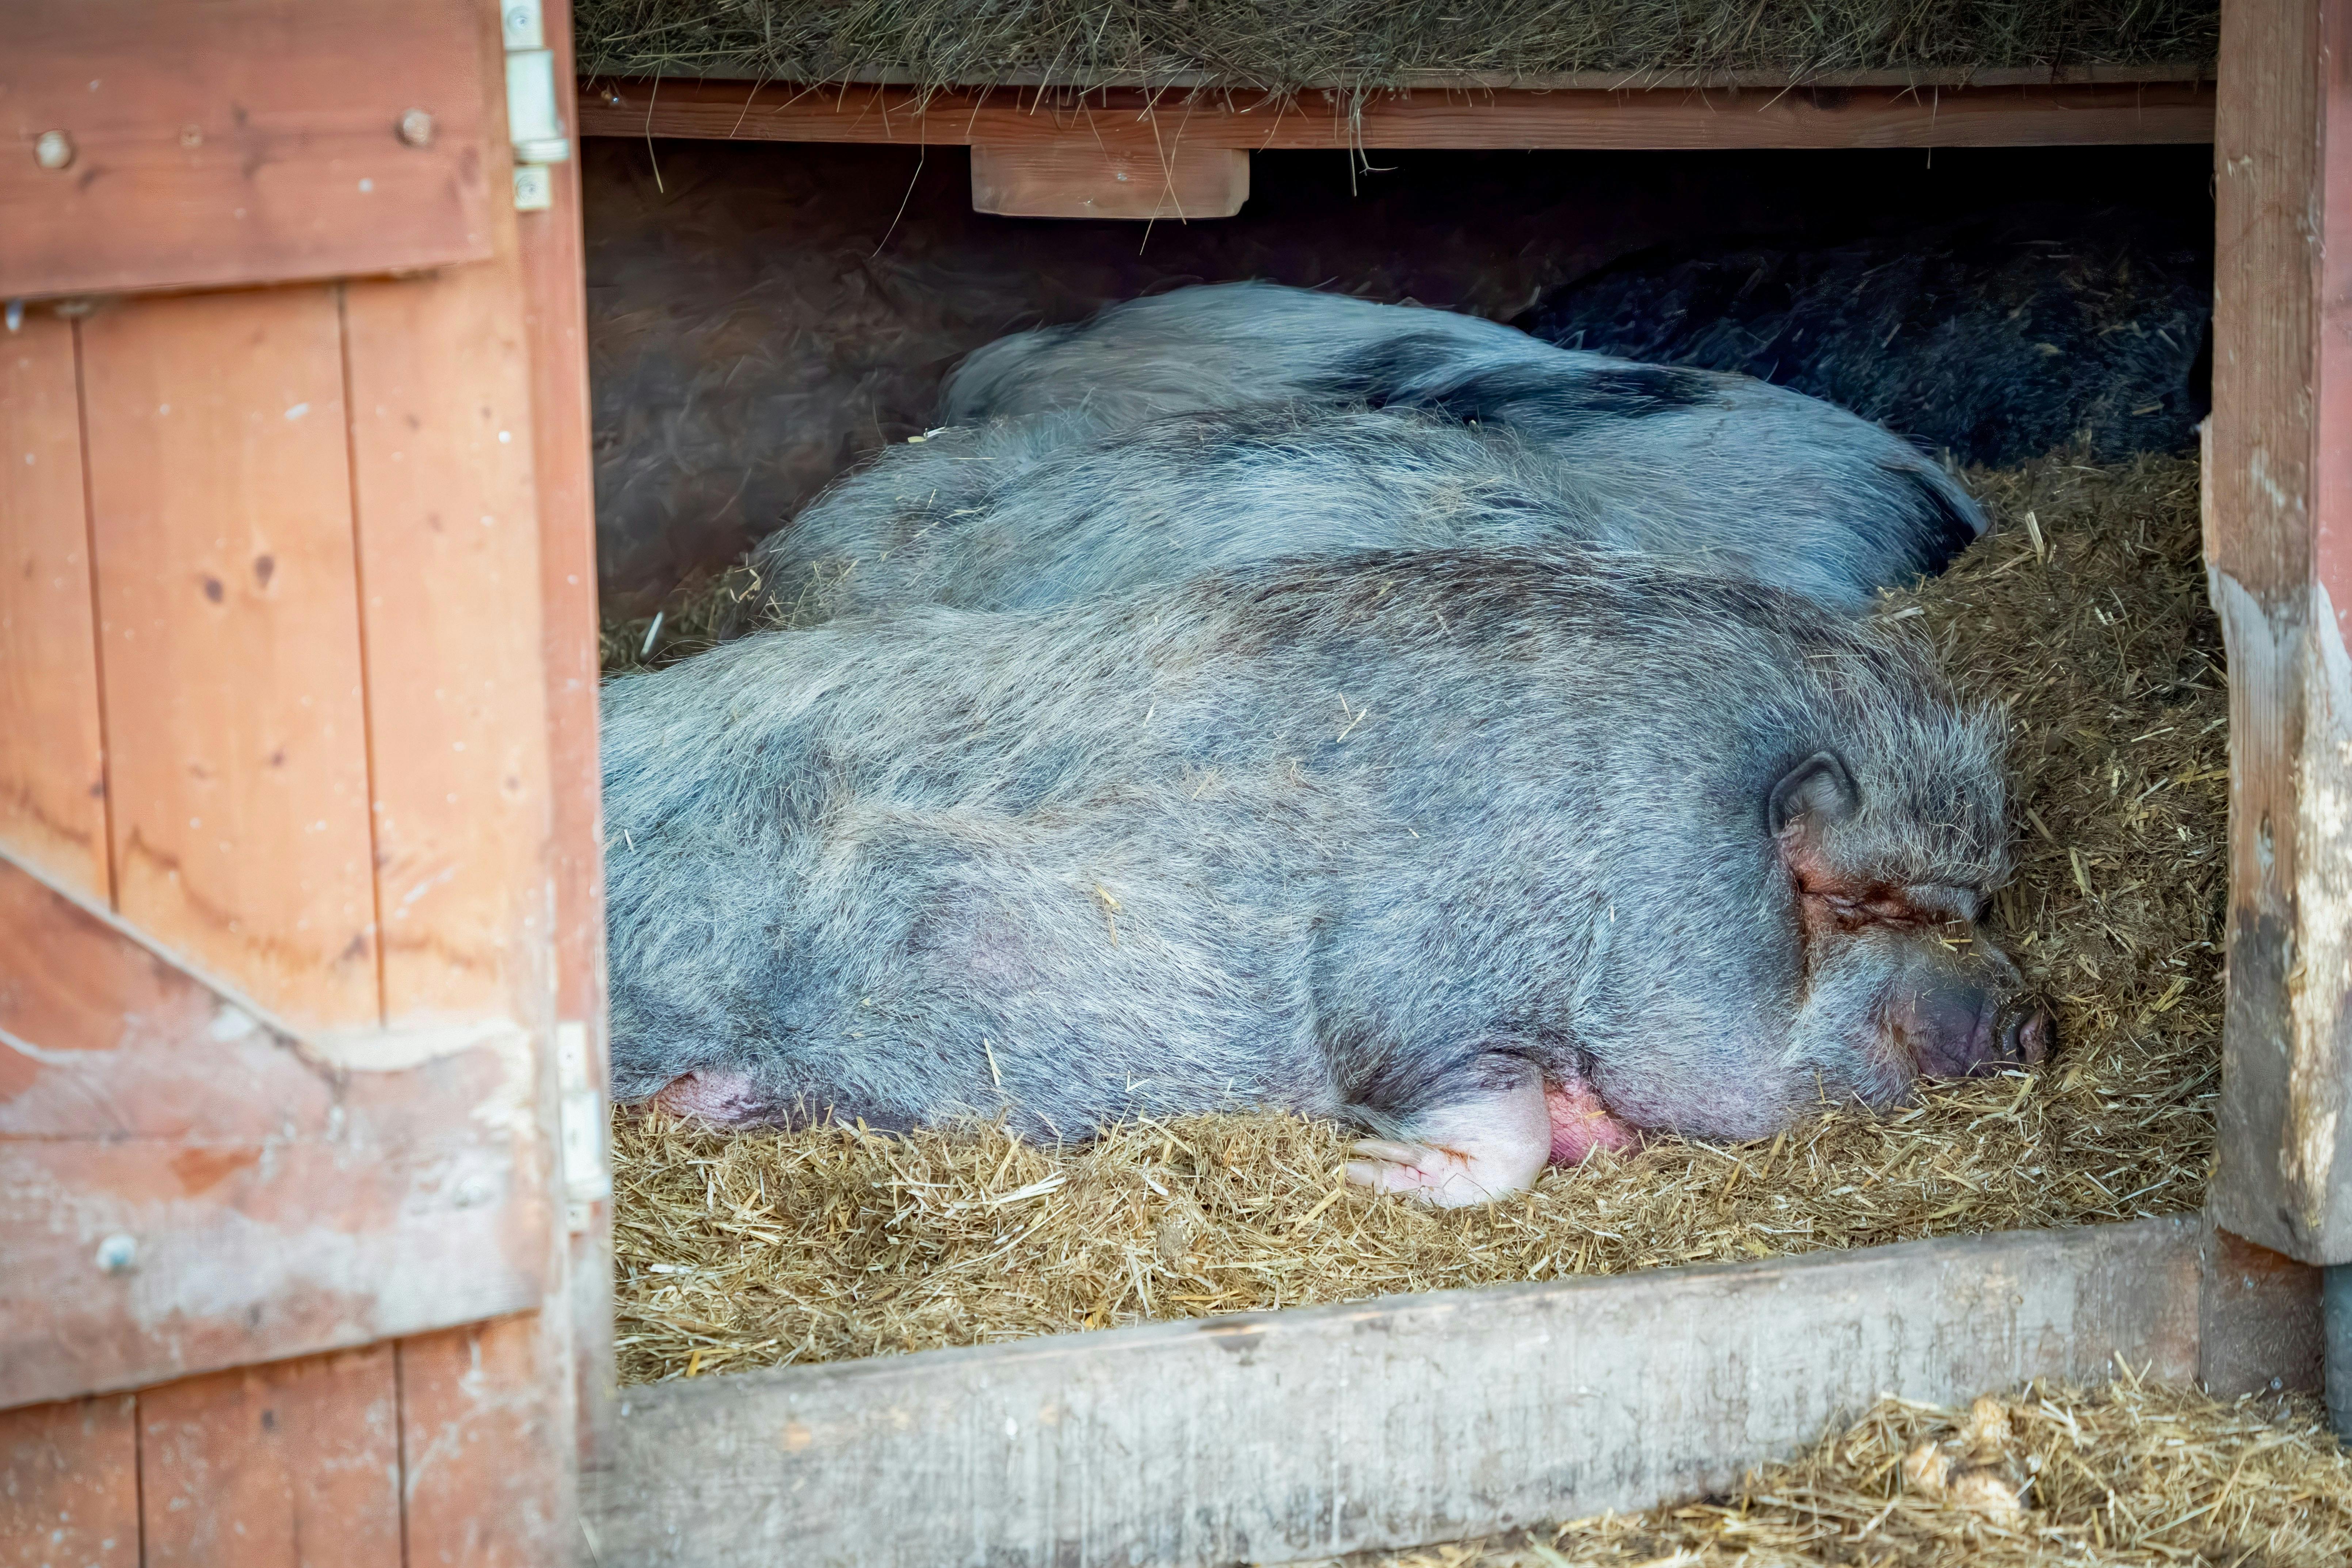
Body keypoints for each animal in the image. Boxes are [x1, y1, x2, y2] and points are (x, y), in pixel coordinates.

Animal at [605, 546, 2052, 1205]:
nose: (2038, 1016)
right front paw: (1371, 1173)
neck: (1629, 860)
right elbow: (1496, 1125)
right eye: (1850, 901)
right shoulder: (1411, 978)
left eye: (1976, 904)